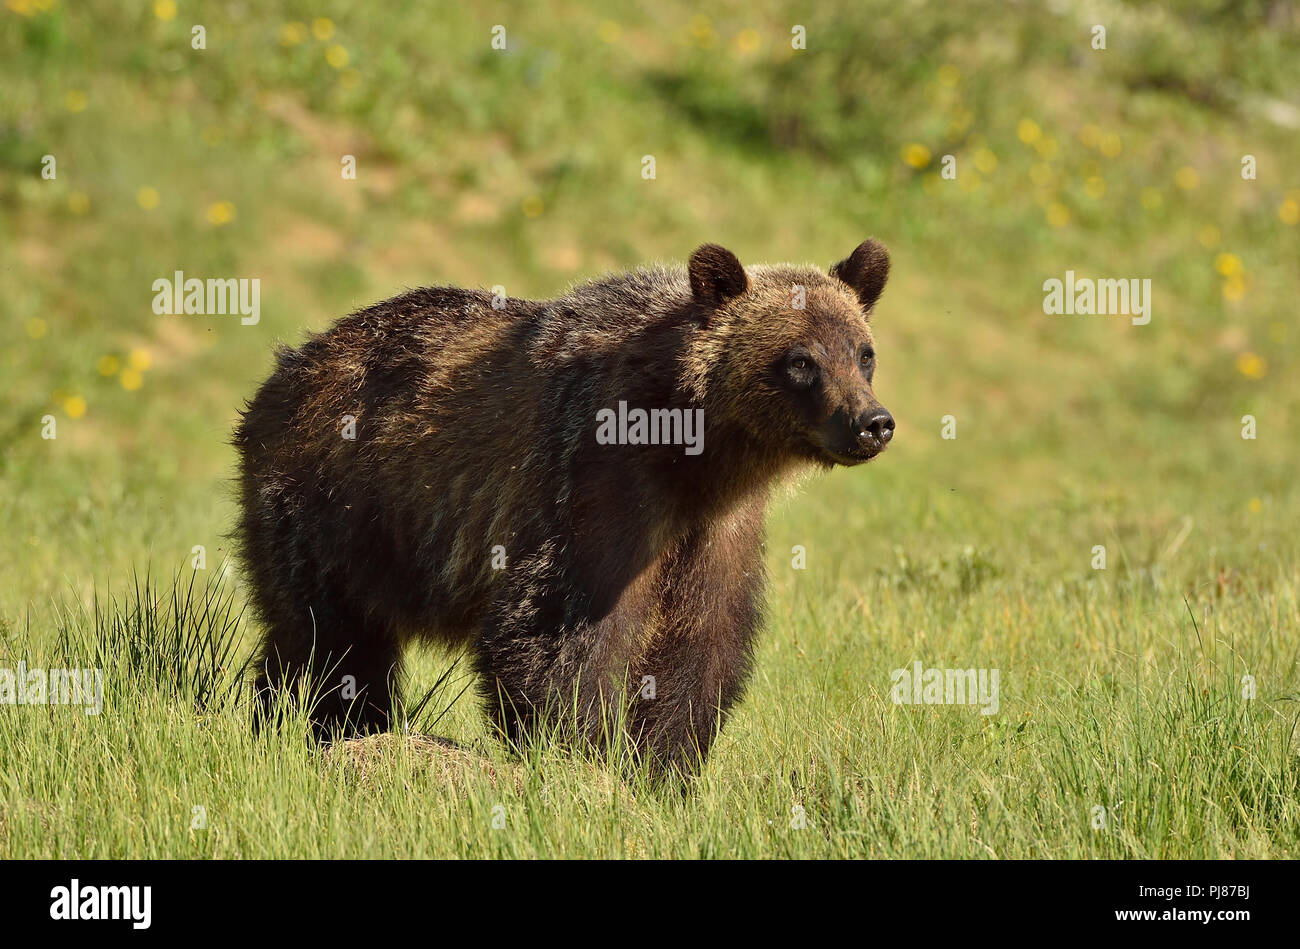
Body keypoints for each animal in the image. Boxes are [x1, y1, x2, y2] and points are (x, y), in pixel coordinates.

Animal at [233, 240, 894, 776]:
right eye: (800, 360)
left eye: (862, 352)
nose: (872, 422)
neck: (697, 455)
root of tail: (292, 362)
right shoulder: (598, 483)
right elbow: (562, 629)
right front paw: (578, 758)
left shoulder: (719, 527)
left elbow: (703, 642)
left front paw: (663, 770)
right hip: (330, 503)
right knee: (327, 637)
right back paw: (321, 728)